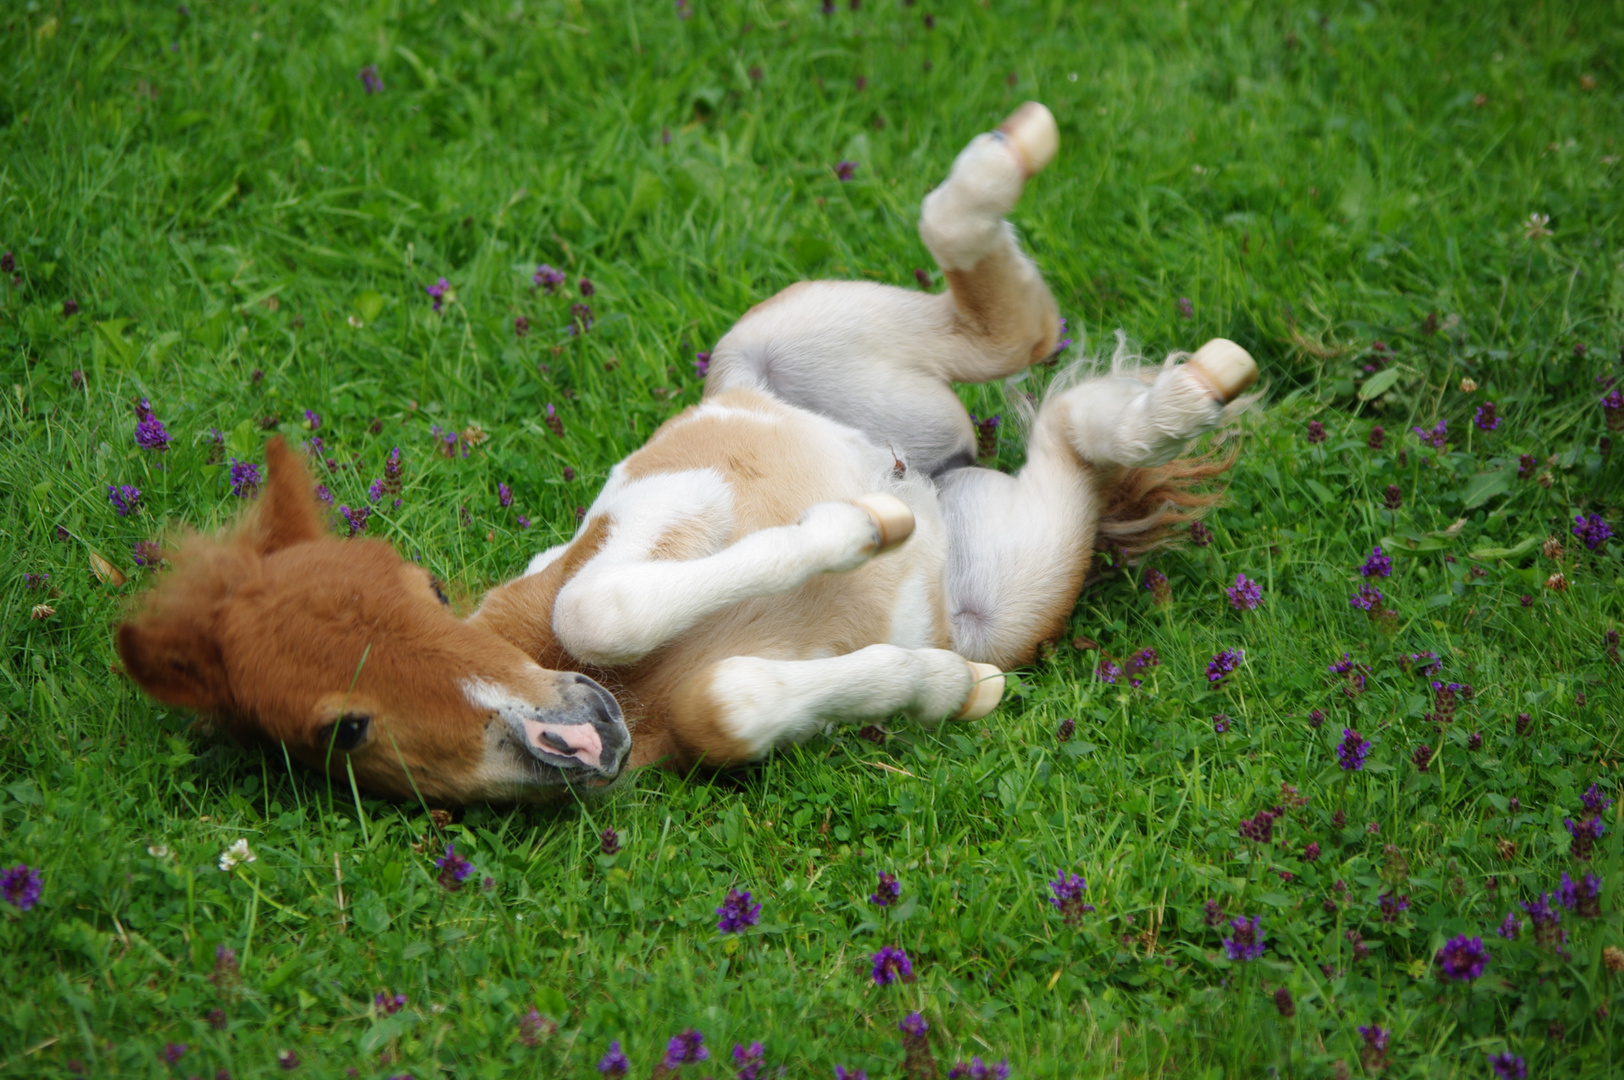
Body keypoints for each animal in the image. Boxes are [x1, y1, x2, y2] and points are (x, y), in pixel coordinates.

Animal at [116, 102, 1257, 805]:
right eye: (341, 732)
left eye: (427, 588)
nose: (573, 738)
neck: (620, 695)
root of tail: (943, 481)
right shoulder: (707, 718)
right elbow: (736, 700)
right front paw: (941, 690)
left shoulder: (650, 508)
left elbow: (602, 599)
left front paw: (856, 527)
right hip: (1012, 588)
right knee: (1062, 422)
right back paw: (1180, 395)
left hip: (774, 342)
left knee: (1005, 325)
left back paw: (1005, 167)